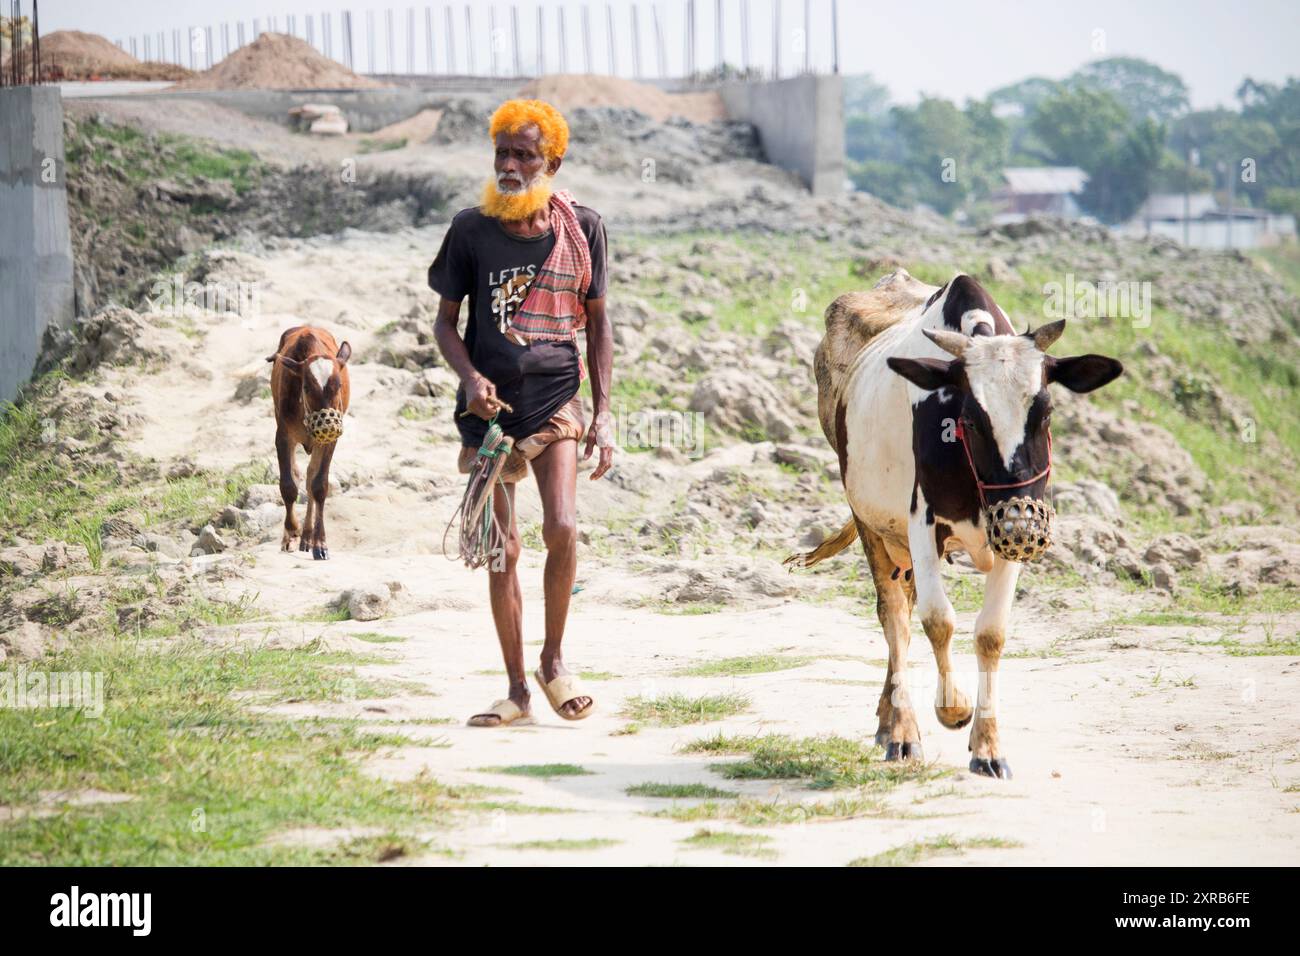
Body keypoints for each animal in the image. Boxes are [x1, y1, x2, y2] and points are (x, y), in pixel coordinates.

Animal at [266, 326, 352, 560]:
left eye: (339, 385)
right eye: (305, 387)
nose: (329, 424)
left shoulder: (330, 441)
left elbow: (319, 485)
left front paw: (320, 543)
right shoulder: (283, 436)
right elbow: (288, 486)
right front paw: (290, 533)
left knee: (311, 475)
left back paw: (307, 536)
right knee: (299, 474)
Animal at [787, 269, 1122, 778]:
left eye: (1045, 412)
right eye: (970, 418)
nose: (1021, 525)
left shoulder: (1008, 538)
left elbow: (990, 633)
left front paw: (987, 746)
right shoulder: (922, 523)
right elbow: (938, 620)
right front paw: (953, 709)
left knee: (904, 611)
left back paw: (888, 717)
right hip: (870, 520)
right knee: (895, 615)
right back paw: (901, 729)